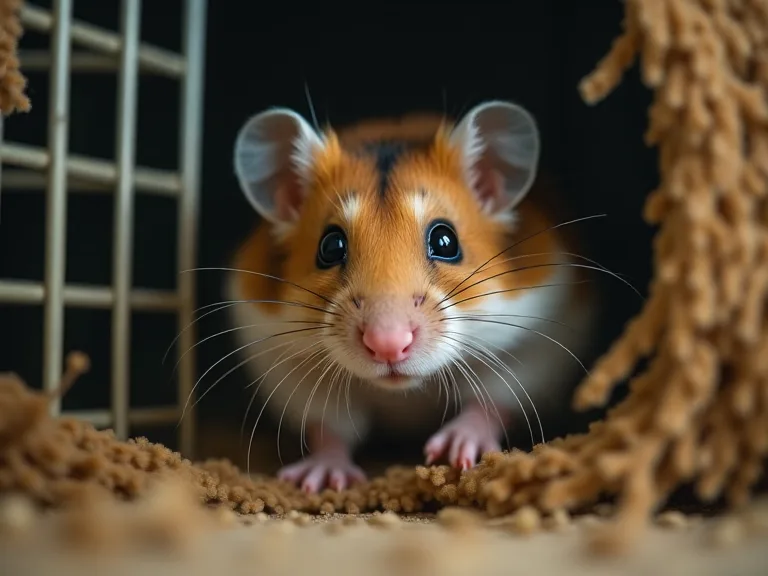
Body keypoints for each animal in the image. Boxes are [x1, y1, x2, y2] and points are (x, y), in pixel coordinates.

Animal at [225, 101, 597, 493]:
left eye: (446, 241)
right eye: (330, 246)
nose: (387, 345)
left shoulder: (535, 350)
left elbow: (491, 401)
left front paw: (454, 452)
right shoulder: (289, 368)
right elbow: (329, 428)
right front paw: (321, 480)